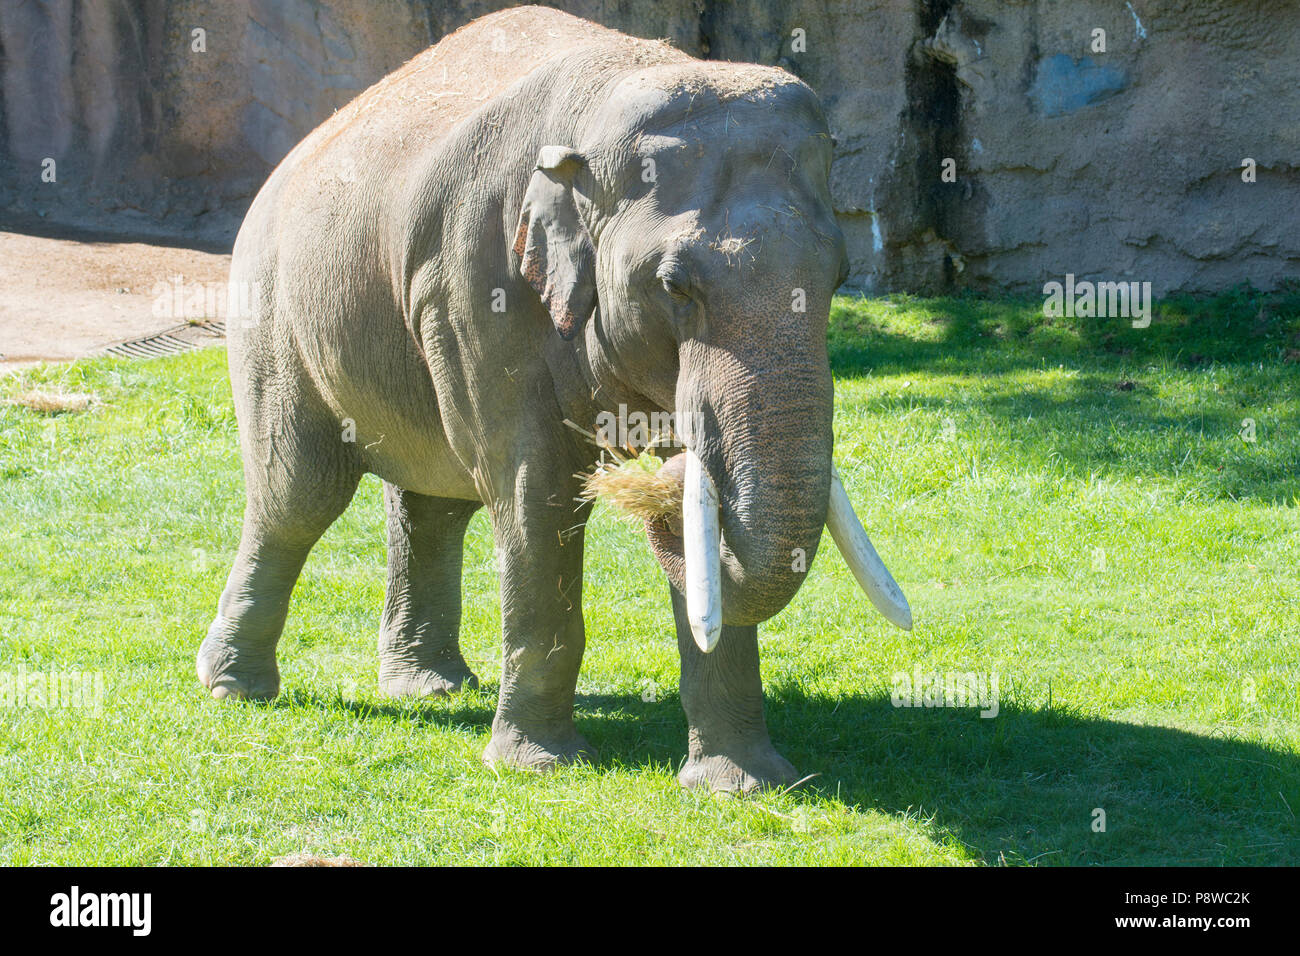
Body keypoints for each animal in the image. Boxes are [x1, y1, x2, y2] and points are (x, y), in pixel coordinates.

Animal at [198, 5, 911, 793]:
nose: (661, 475)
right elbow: (533, 493)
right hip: (271, 317)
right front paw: (540, 765)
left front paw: (744, 785)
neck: (613, 95)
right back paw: (235, 688)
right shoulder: (474, 287)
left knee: (431, 504)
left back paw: (432, 688)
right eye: (674, 286)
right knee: (299, 495)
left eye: (838, 277)